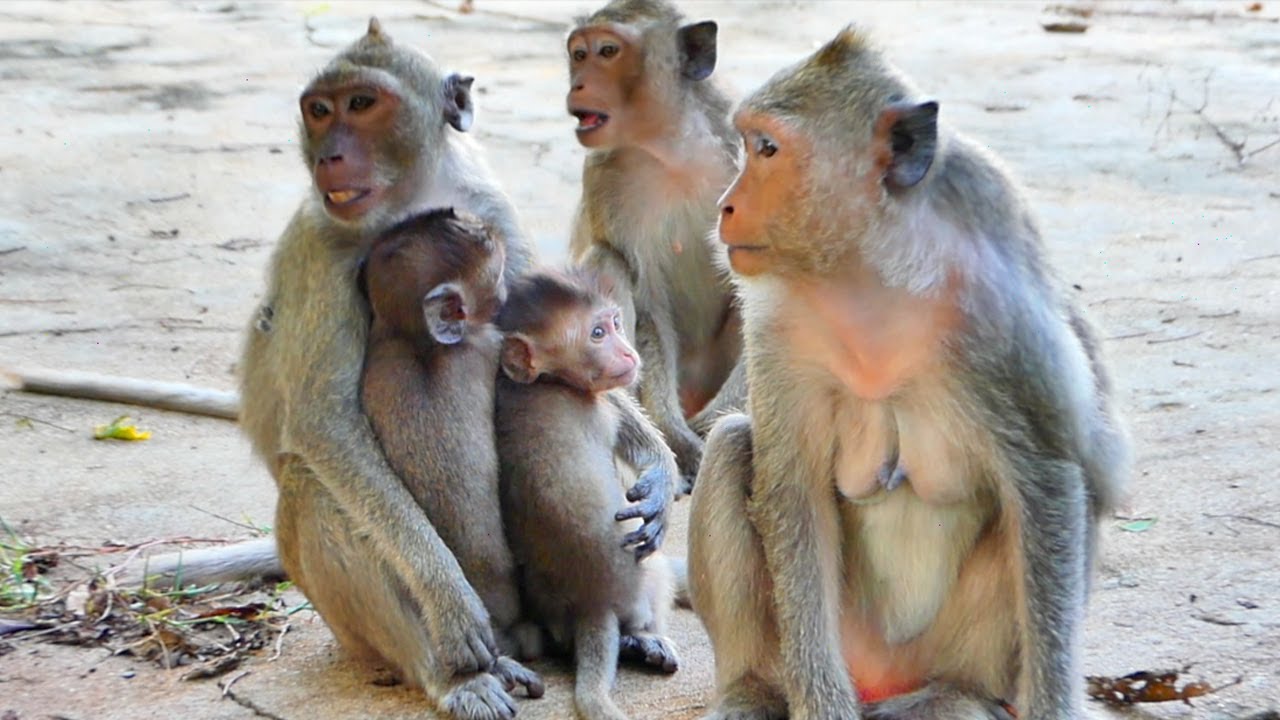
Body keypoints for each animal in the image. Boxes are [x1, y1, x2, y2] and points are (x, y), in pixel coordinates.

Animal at [494, 268, 681, 720]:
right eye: (597, 334)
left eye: (614, 323)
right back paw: (643, 636)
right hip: (644, 585)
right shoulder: (598, 407)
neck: (548, 382)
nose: (628, 353)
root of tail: (592, 605)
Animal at [566, 0, 747, 487]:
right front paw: (681, 442)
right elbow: (647, 300)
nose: (577, 81)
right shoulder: (607, 179)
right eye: (579, 54)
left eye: (607, 51)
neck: (673, 148)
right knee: (608, 262)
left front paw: (712, 428)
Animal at [687, 27, 1130, 720]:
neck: (870, 276)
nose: (725, 206)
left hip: (955, 652)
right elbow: (791, 492)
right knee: (735, 444)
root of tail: (885, 680)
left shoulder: (1001, 320)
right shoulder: (780, 327)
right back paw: (752, 691)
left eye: (766, 148)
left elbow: (1053, 479)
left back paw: (957, 696)